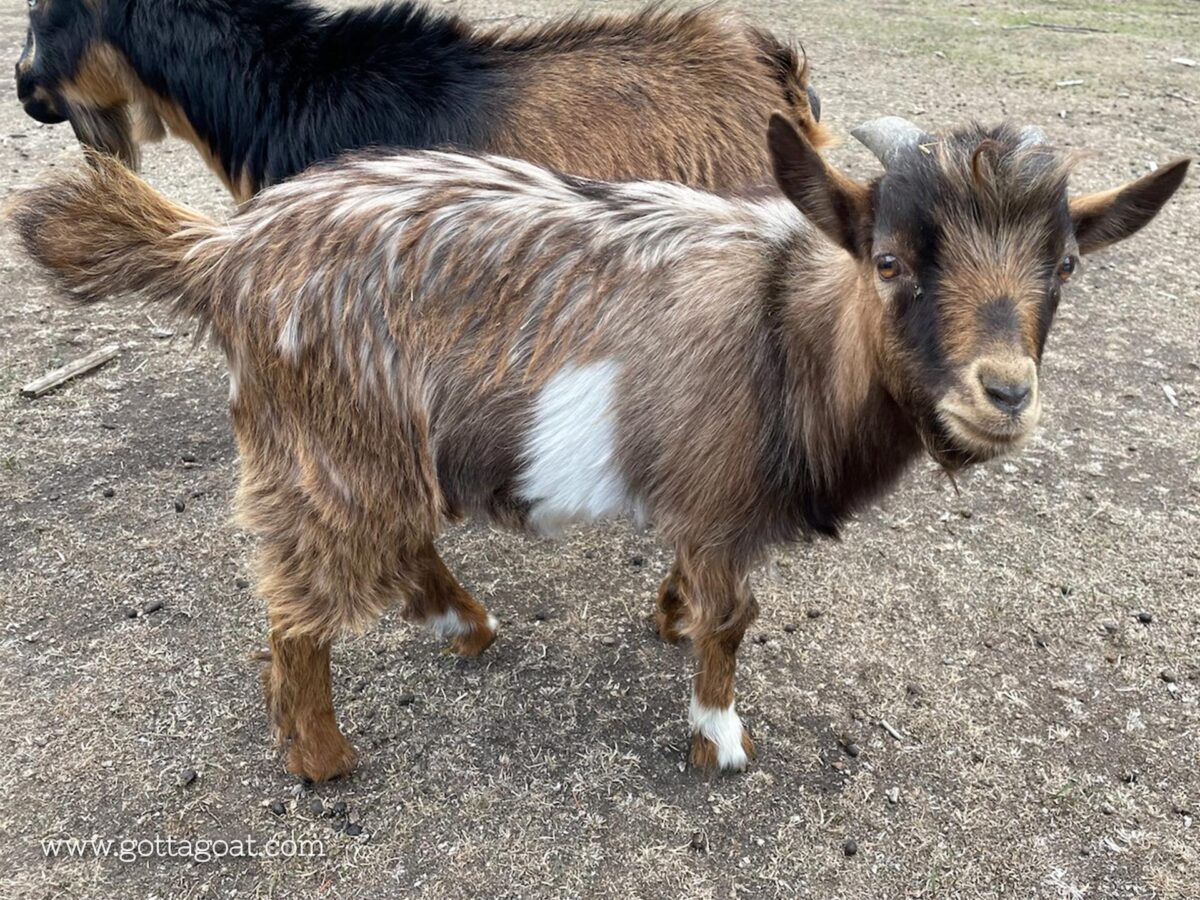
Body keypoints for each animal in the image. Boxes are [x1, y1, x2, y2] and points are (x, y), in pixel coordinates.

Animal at [11, 117, 1187, 780]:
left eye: (1066, 267)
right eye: (891, 260)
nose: (1006, 394)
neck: (791, 334)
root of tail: (223, 250)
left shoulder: (704, 497)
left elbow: (695, 583)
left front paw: (666, 617)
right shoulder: (721, 492)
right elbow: (735, 617)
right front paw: (718, 737)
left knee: (399, 547)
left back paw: (465, 626)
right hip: (329, 448)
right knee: (299, 614)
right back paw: (326, 762)